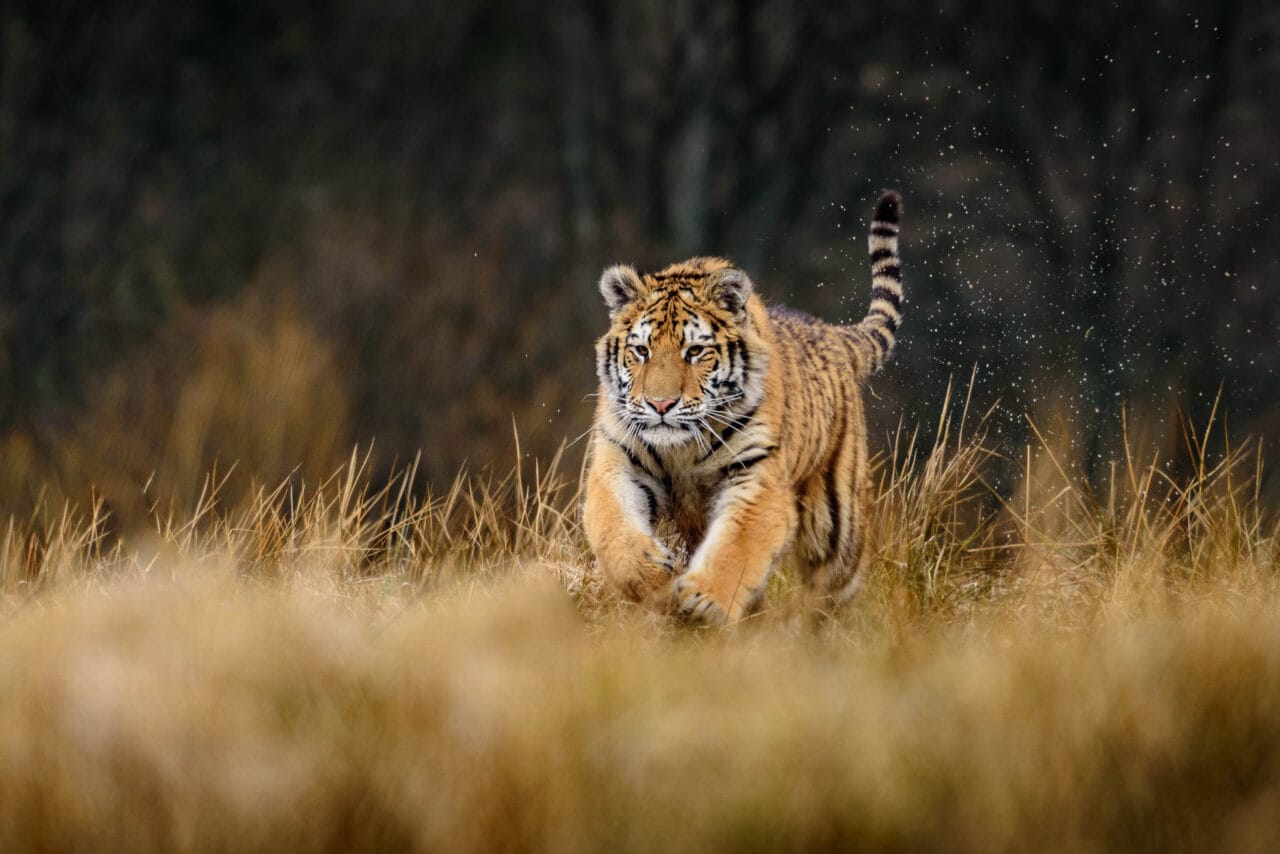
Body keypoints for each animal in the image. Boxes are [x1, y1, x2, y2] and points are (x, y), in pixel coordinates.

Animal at [583, 191, 904, 626]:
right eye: (642, 351)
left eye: (694, 352)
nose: (660, 404)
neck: (682, 447)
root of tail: (833, 333)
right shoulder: (619, 459)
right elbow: (611, 524)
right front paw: (652, 576)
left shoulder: (756, 475)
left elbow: (738, 545)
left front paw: (705, 600)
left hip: (836, 525)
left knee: (838, 587)